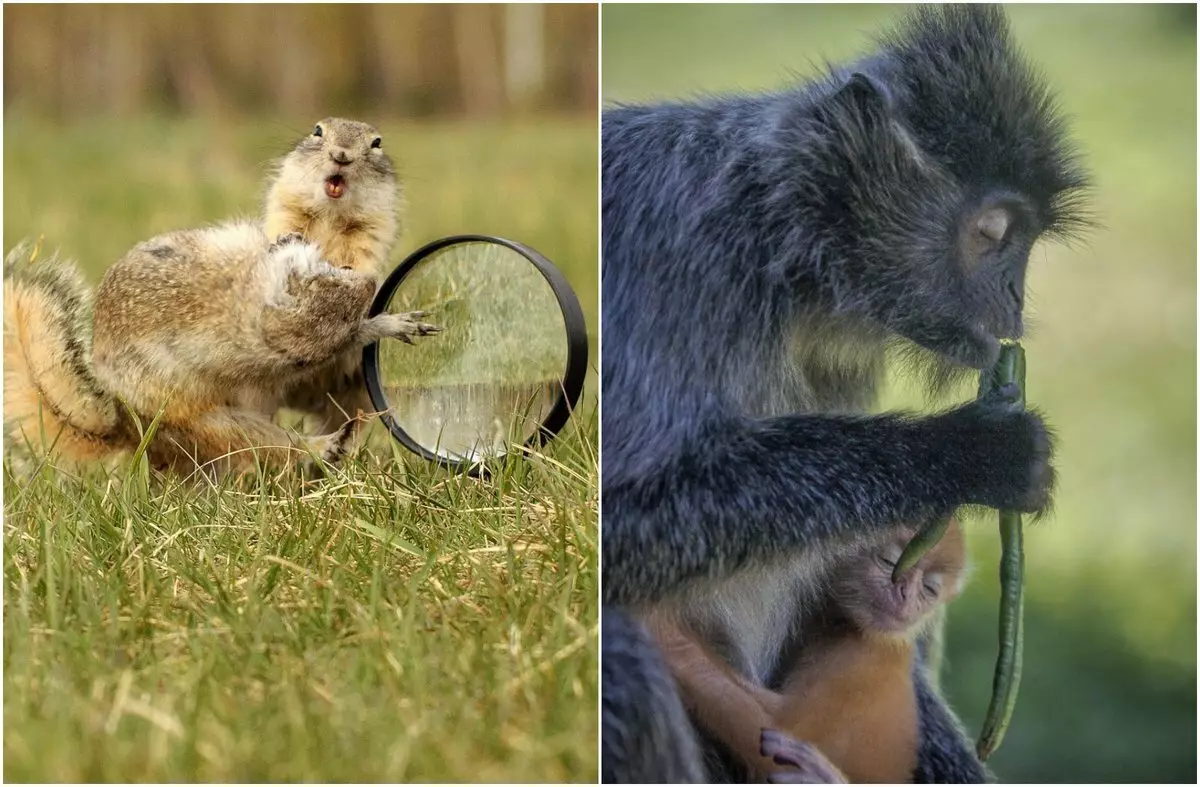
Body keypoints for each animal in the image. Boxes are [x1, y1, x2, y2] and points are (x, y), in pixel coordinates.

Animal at [4, 116, 436, 472]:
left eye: (376, 142)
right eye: (318, 131)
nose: (341, 155)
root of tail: (128, 428)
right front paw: (385, 323)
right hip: (218, 425)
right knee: (268, 445)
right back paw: (321, 449)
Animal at [648, 520, 964, 782]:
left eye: (928, 590)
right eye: (888, 562)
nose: (905, 598)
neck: (839, 621)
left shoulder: (863, 655)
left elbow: (783, 730)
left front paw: (659, 630)